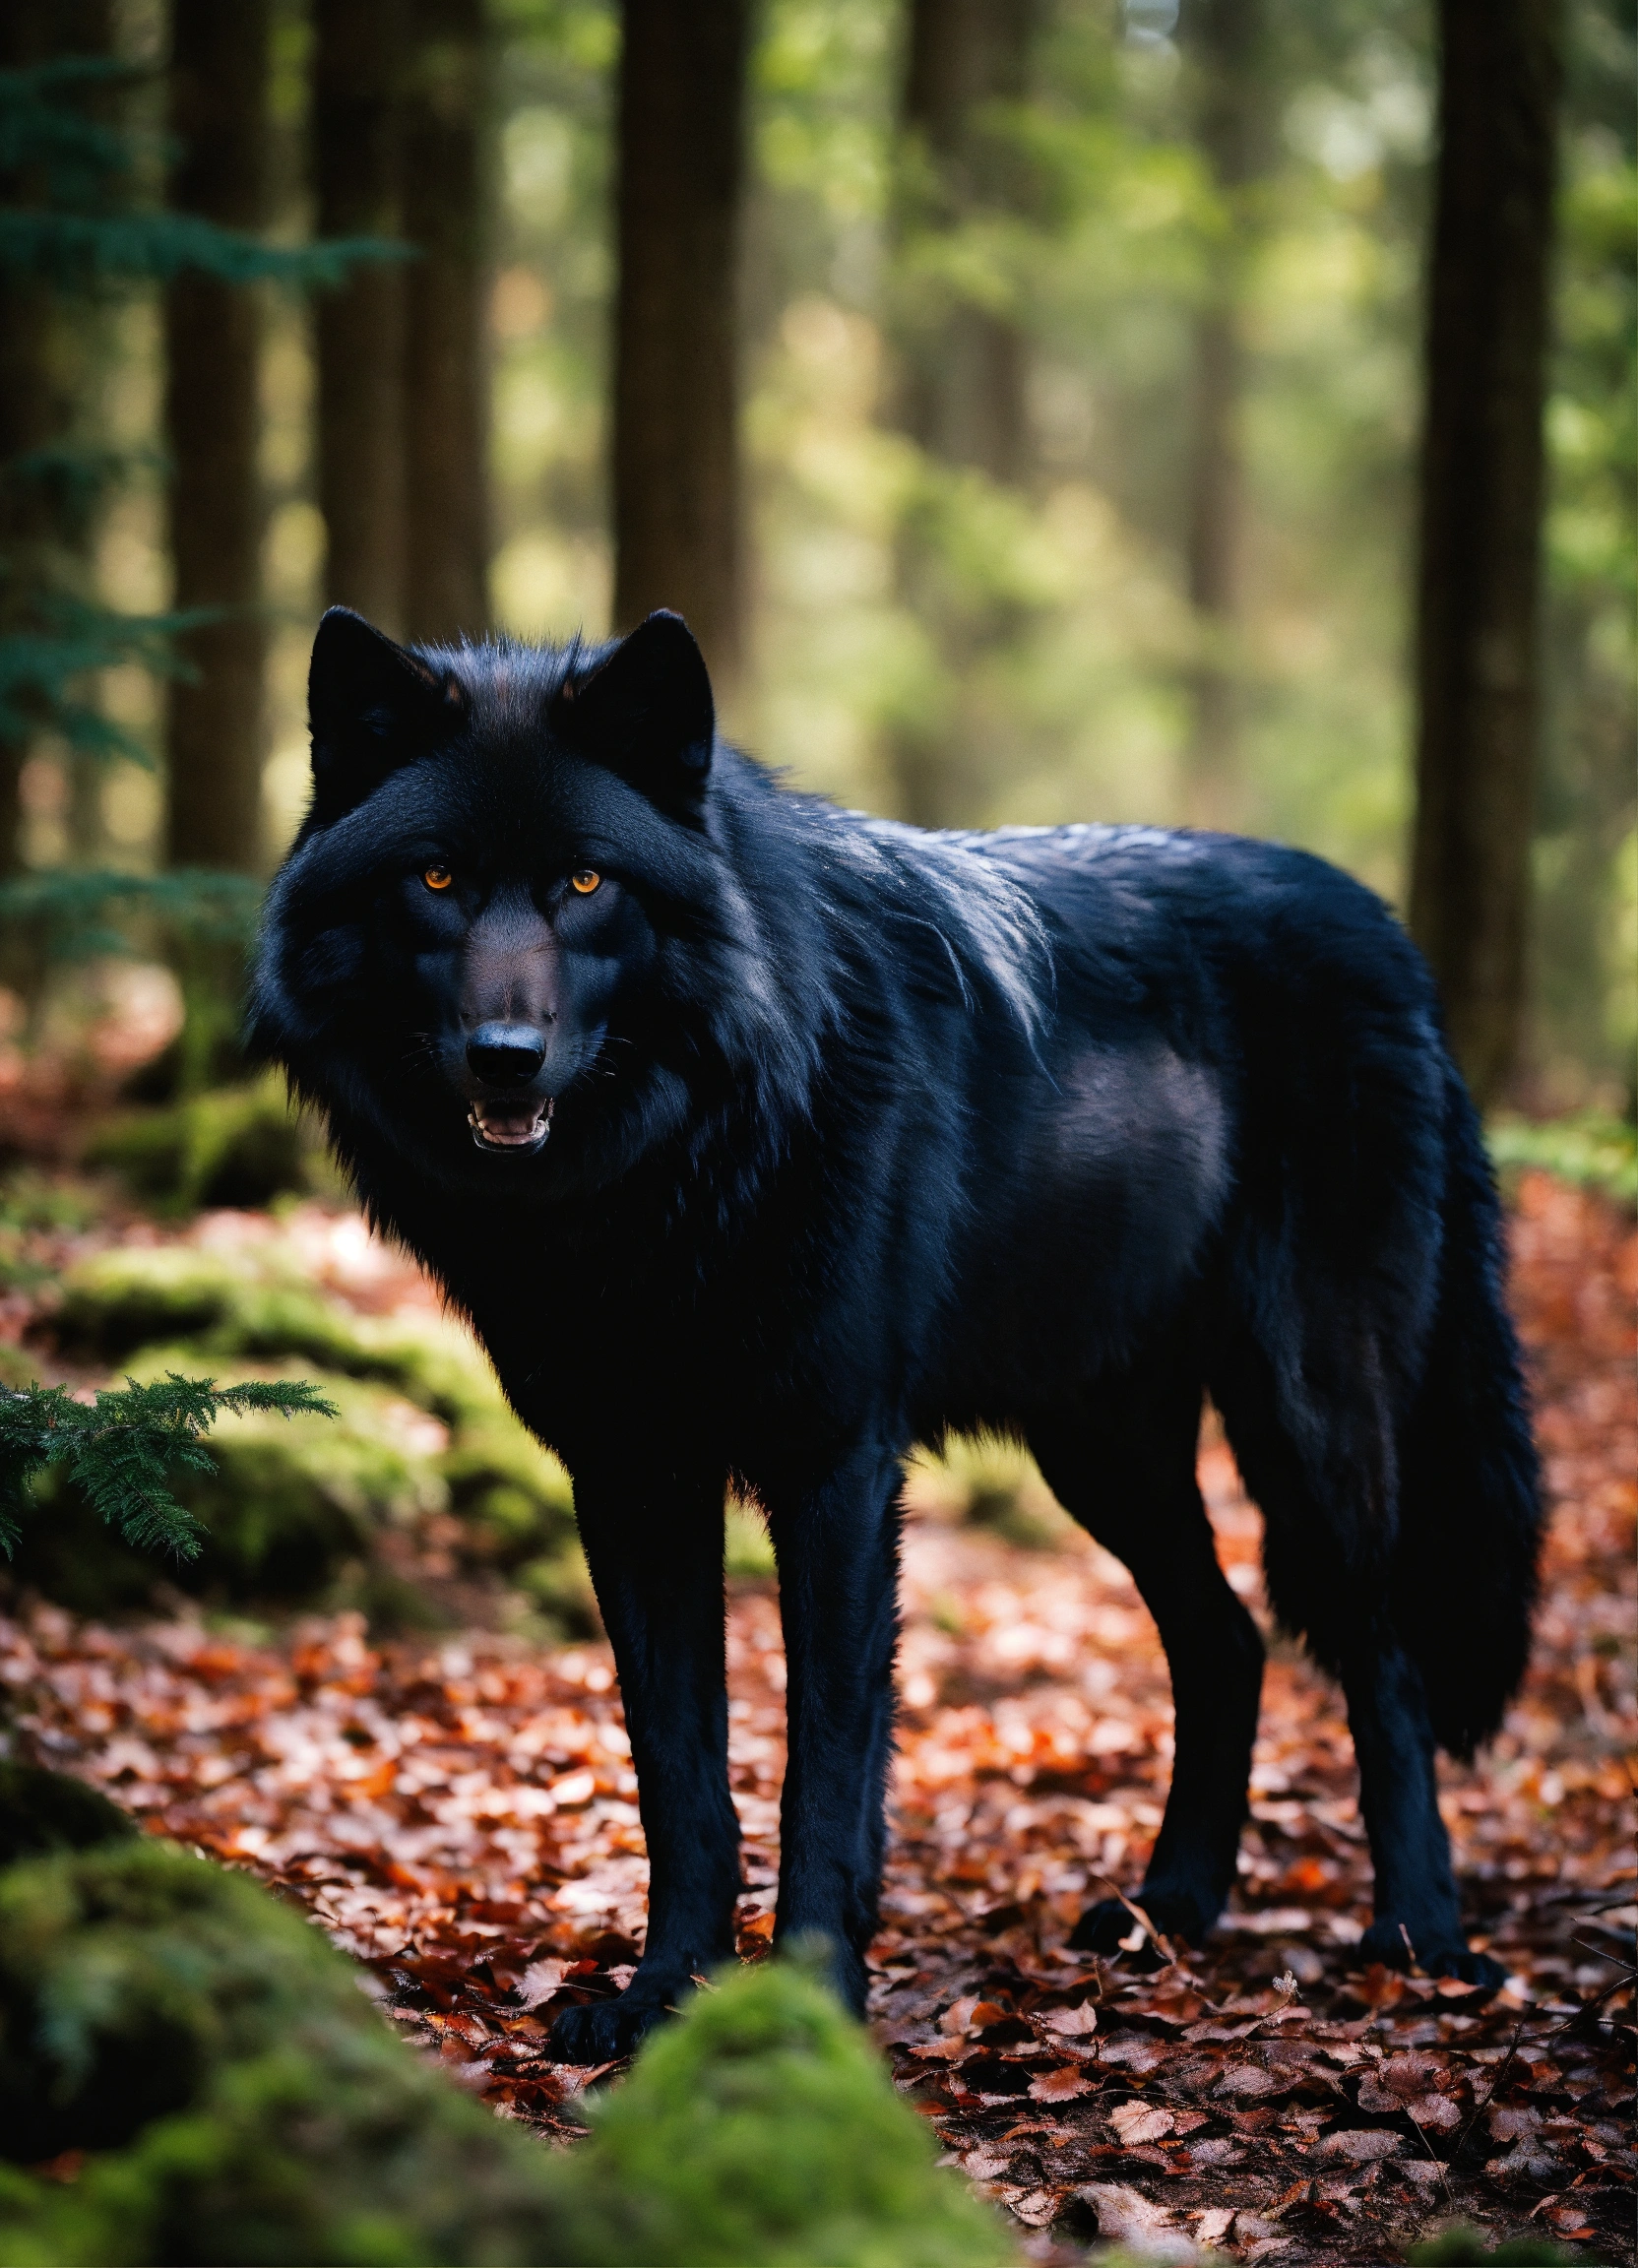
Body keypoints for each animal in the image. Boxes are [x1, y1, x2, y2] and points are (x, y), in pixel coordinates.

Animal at [249, 604, 1541, 2059]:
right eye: (436, 880)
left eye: (584, 884)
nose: (503, 1055)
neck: (675, 1183)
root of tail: (1388, 930)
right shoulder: (632, 1482)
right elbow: (678, 1778)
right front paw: (659, 1996)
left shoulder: (836, 1473)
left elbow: (822, 1773)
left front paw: (806, 2009)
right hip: (1101, 1454)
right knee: (1229, 1640)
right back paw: (1165, 1913)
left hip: (1309, 1425)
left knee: (1379, 1653)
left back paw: (1420, 1940)